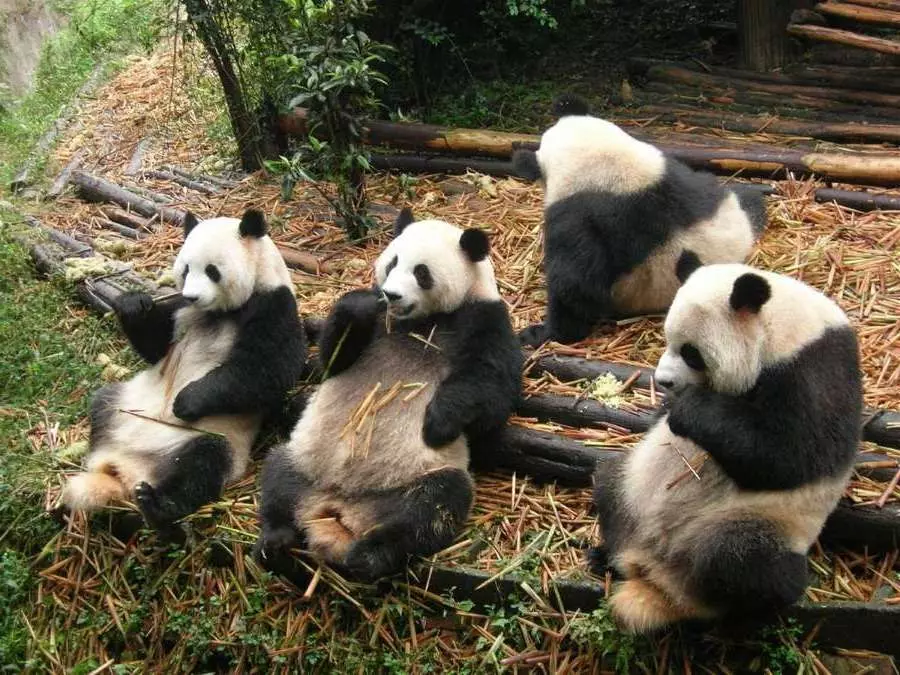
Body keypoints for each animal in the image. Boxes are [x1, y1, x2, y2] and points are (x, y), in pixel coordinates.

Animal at [60, 209, 306, 532]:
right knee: (102, 402)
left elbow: (271, 369)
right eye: (186, 269)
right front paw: (133, 304)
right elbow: (156, 346)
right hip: (123, 405)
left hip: (212, 435)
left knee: (202, 463)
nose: (192, 296)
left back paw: (157, 506)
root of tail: (128, 466)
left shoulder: (273, 304)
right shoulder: (179, 309)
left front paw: (185, 402)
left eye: (212, 270)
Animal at [255, 210, 520, 580]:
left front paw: (437, 422)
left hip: (413, 480)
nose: (391, 294)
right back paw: (276, 542)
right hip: (305, 459)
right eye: (393, 262)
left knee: (431, 509)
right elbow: (331, 359)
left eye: (421, 272)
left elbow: (491, 391)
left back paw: (369, 556)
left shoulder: (482, 318)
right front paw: (360, 304)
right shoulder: (378, 322)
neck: (420, 322)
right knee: (278, 479)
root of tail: (336, 507)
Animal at [592, 264, 864, 632]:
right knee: (607, 480)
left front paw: (687, 410)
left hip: (750, 522)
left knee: (744, 564)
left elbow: (787, 455)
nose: (663, 381)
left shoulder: (813, 370)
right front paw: (669, 408)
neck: (782, 330)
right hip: (632, 486)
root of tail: (651, 565)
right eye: (667, 339)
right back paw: (604, 555)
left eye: (691, 353)